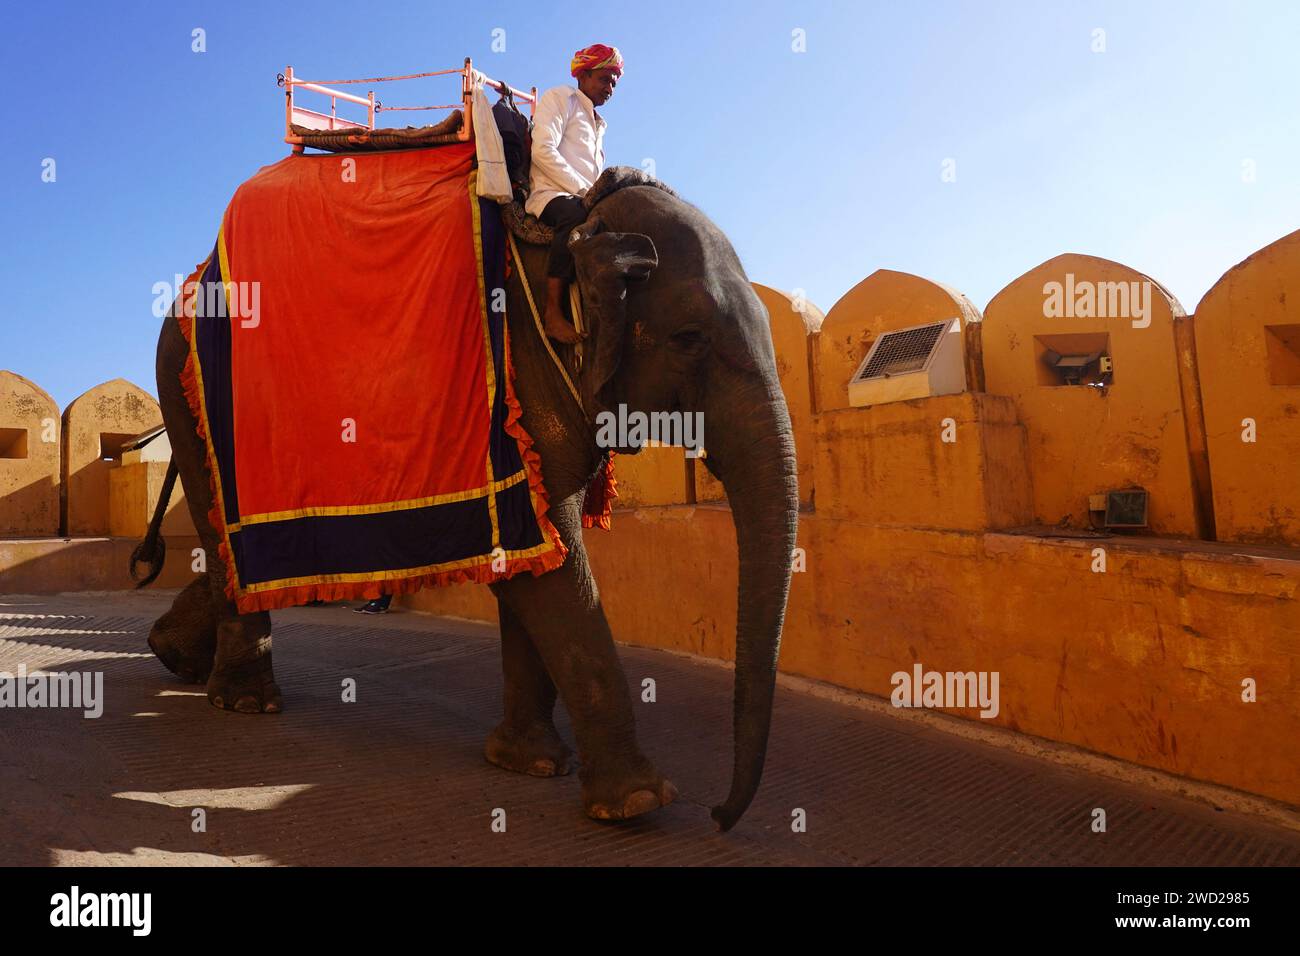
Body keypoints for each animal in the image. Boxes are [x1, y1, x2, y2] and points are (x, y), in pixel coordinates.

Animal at [133, 166, 798, 831]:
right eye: (689, 338)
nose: (720, 815)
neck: (575, 229)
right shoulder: (520, 375)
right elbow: (551, 566)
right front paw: (636, 803)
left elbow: (538, 555)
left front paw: (527, 763)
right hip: (185, 388)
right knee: (219, 529)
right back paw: (245, 701)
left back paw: (176, 659)